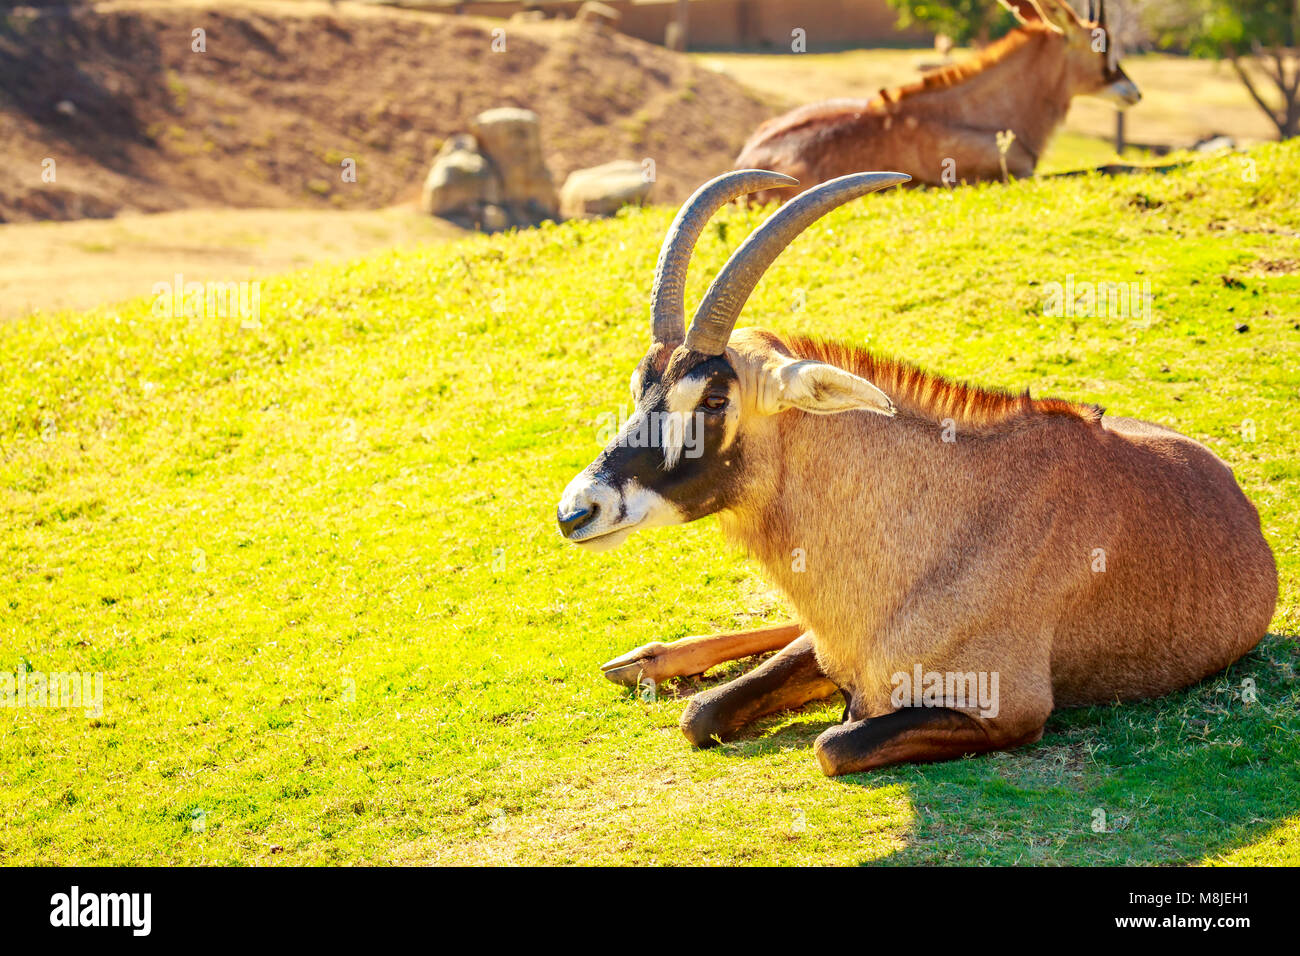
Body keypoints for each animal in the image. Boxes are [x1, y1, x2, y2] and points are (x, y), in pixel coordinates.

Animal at [555, 169, 1277, 775]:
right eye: (641, 384)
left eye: (712, 398)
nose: (576, 510)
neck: (940, 524)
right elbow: (701, 714)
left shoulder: (1006, 714)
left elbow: (832, 744)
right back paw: (643, 661)